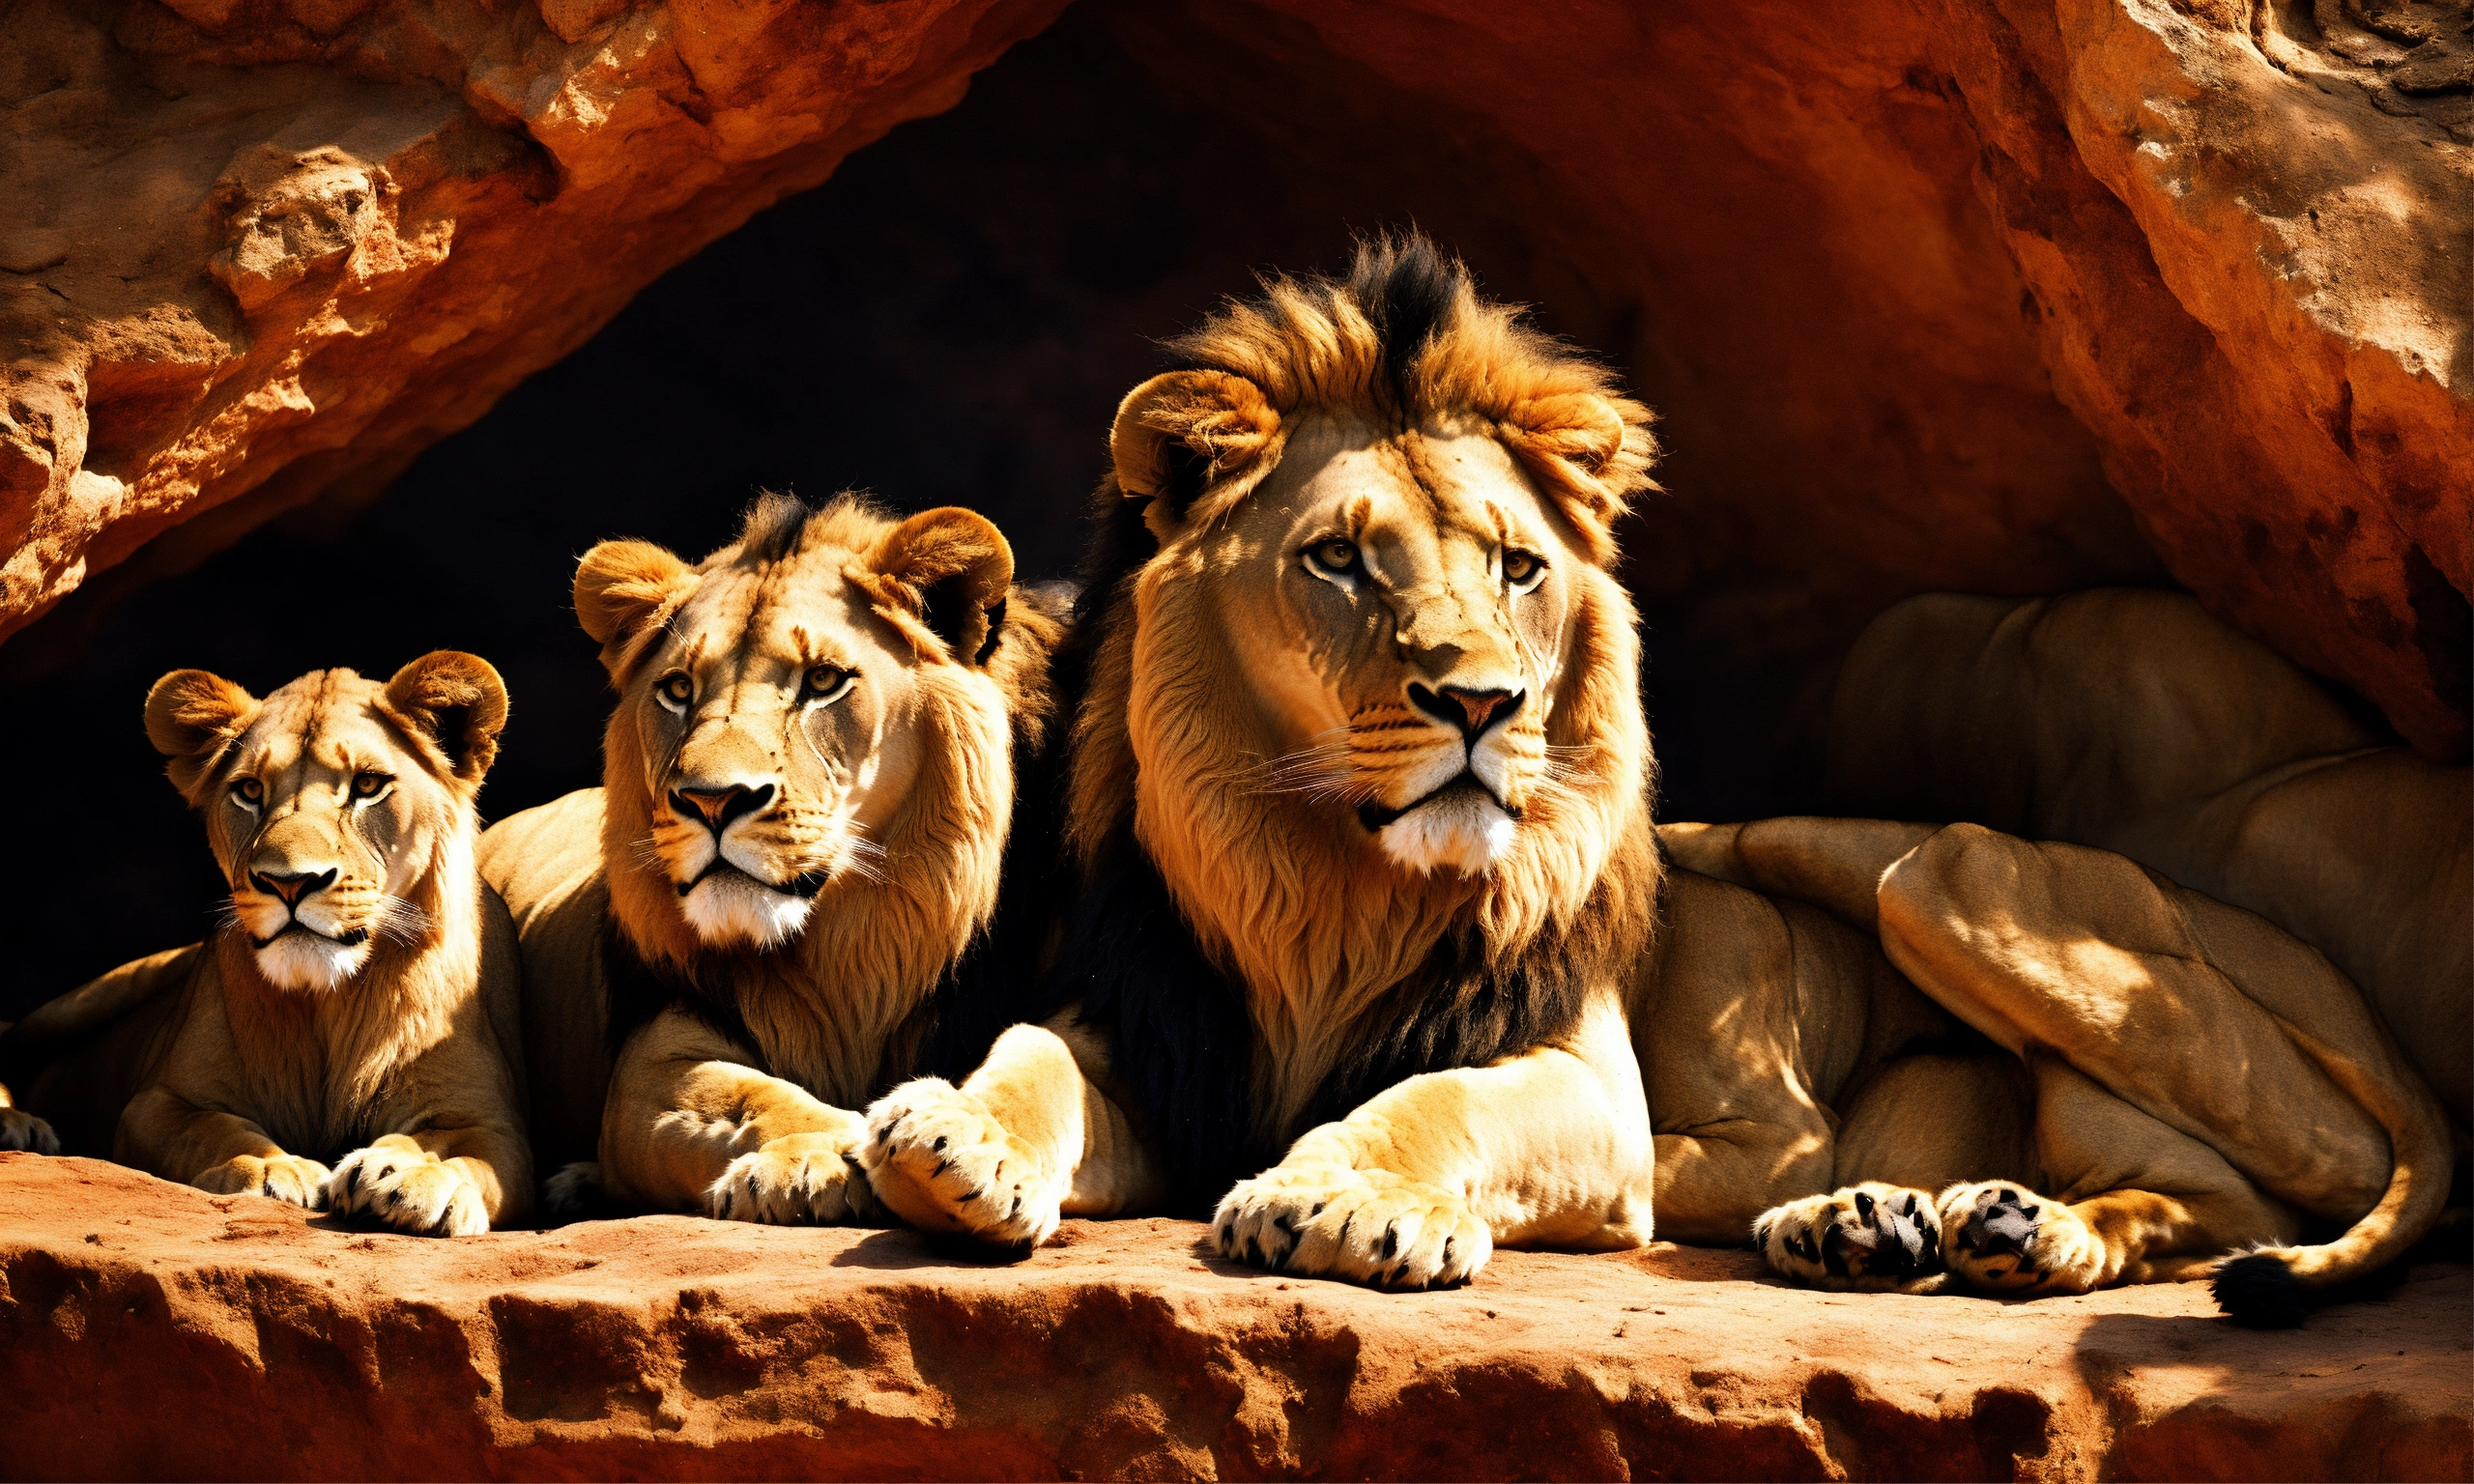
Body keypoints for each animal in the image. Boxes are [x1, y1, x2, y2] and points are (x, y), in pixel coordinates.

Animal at [0, 655, 532, 1236]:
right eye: (250, 791)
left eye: (368, 784)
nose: (290, 883)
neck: (326, 1002)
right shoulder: (160, 1103)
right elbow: (213, 1129)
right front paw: (273, 1168)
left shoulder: (489, 1119)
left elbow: (463, 1151)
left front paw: (412, 1175)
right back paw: (18, 1125)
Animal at [478, 492, 1061, 1224]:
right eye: (677, 689)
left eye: (823, 681)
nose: (712, 801)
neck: (855, 947)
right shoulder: (656, 1055)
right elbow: (749, 1095)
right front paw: (816, 1159)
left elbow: (1041, 1069)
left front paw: (980, 1156)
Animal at [855, 233, 1667, 1282]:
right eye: (1338, 559)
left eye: (1519, 568)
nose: (1481, 702)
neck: (1344, 901)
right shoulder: (1149, 1028)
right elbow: (1035, 1052)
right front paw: (957, 1138)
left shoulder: (1594, 1082)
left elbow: (1444, 1094)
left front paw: (1344, 1198)